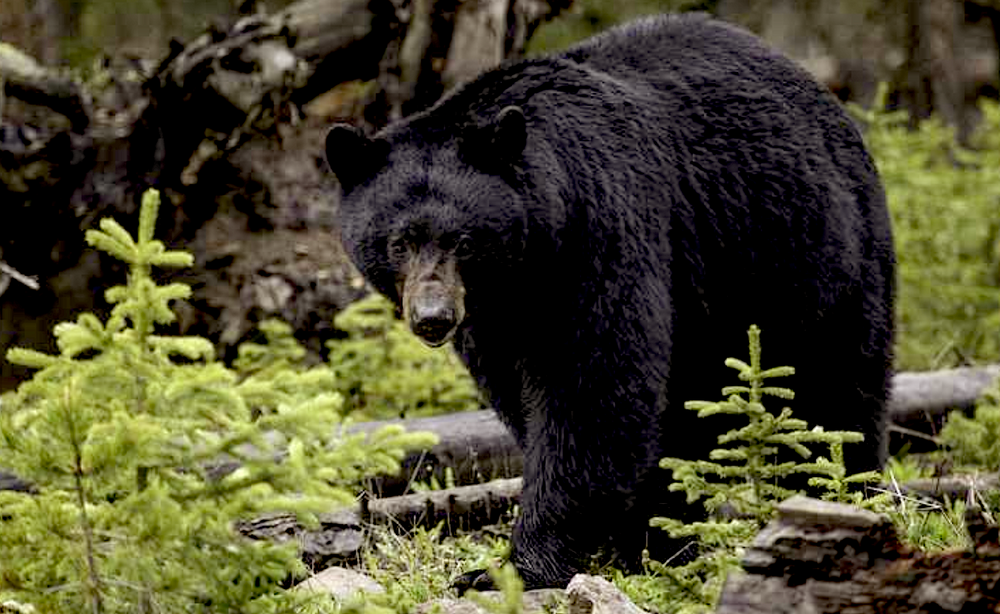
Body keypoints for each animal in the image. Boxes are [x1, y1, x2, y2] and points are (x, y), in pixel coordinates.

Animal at [324, 13, 894, 589]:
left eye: (463, 241)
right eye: (398, 242)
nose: (433, 318)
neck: (531, 263)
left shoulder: (601, 233)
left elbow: (593, 390)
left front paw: (517, 565)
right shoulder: (495, 318)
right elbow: (527, 397)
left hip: (811, 255)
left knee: (837, 389)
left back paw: (838, 496)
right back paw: (669, 536)